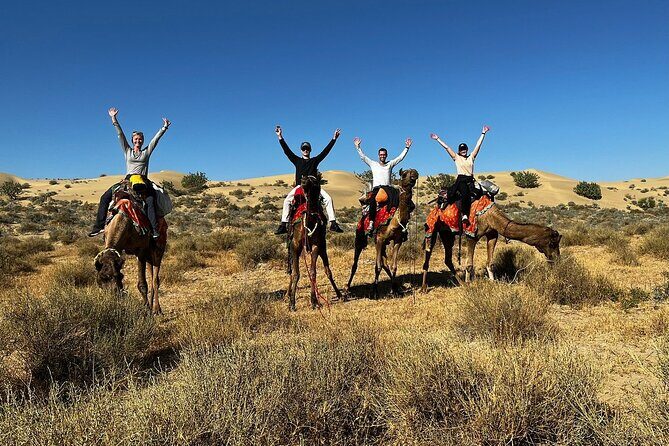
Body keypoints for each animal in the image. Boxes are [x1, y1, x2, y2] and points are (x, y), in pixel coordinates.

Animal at [285, 173, 342, 312]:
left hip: (322, 246)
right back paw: (288, 294)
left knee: (327, 270)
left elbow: (313, 272)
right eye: (305, 184)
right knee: (291, 271)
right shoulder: (295, 246)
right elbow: (296, 274)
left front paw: (314, 301)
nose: (303, 180)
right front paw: (292, 303)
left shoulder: (316, 245)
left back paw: (339, 294)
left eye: (315, 183)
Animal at [346, 168, 419, 298]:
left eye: (413, 172)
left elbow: (394, 266)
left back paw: (398, 287)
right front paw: (374, 292)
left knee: (385, 263)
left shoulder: (397, 241)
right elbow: (377, 266)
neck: (395, 221)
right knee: (355, 264)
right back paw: (347, 288)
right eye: (404, 174)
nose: (414, 173)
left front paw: (394, 290)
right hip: (361, 238)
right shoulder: (379, 239)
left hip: (383, 243)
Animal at [421, 201, 561, 291]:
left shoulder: (492, 235)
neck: (491, 216)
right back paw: (424, 288)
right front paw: (470, 284)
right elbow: (469, 264)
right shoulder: (472, 235)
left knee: (448, 259)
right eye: (552, 243)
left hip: (448, 234)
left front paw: (492, 282)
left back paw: (460, 283)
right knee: (428, 255)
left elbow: (490, 263)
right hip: (433, 229)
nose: (556, 259)